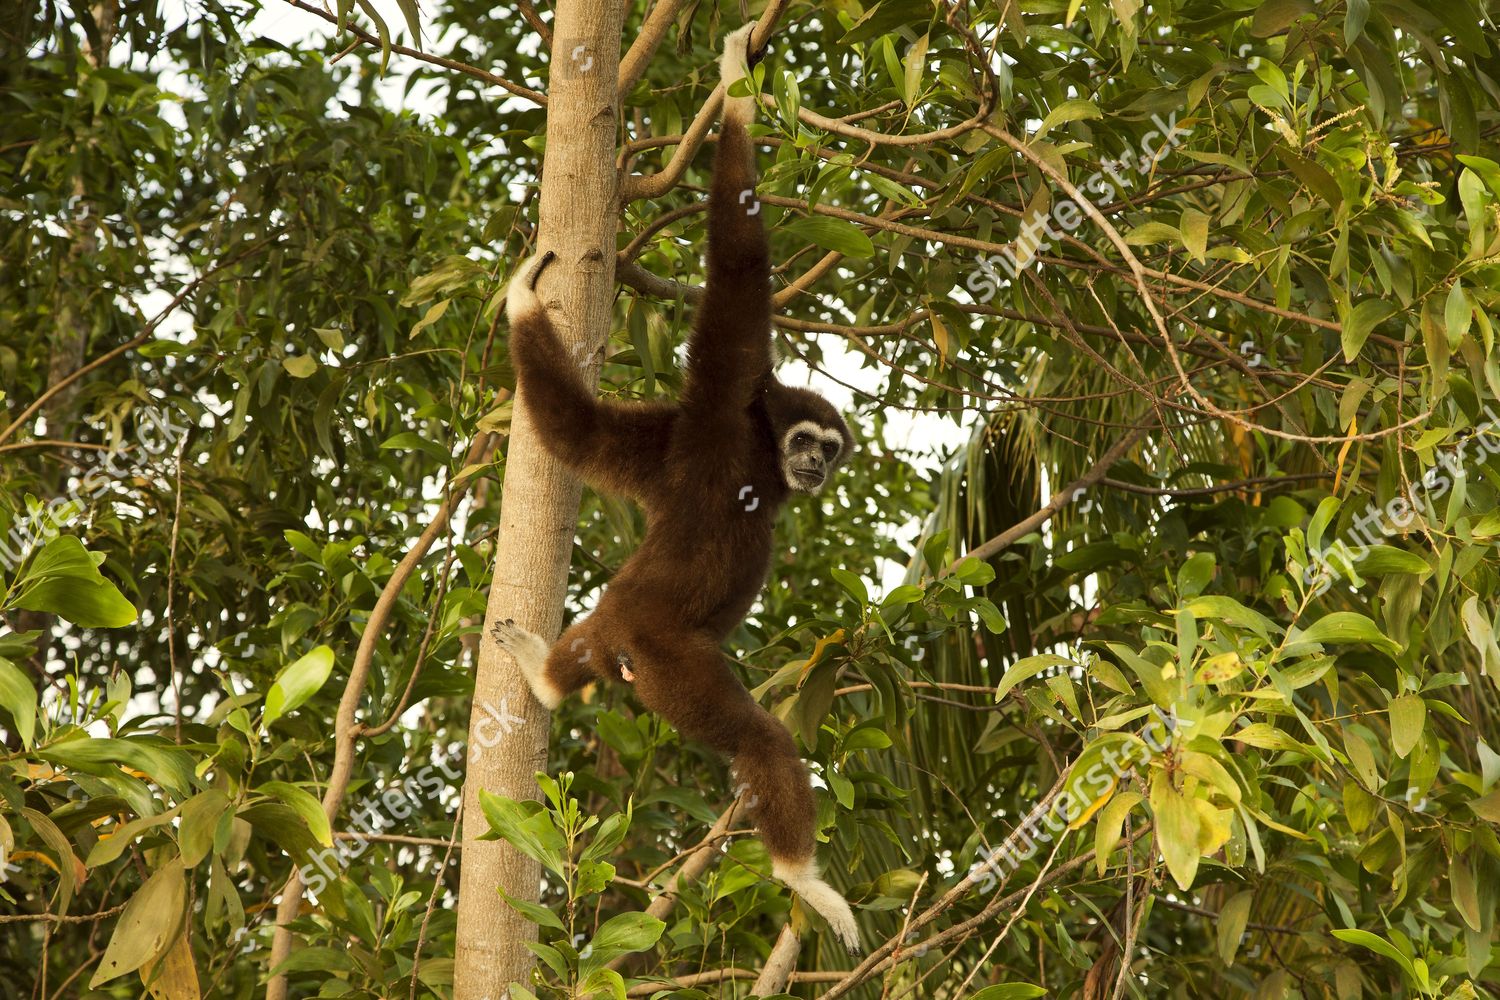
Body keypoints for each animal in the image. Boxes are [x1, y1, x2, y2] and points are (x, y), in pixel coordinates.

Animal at [489, 24, 861, 951]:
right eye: (808, 442)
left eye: (831, 452)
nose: (817, 466)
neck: (759, 447)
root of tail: (627, 631)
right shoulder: (721, 401)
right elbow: (738, 266)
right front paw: (738, 91)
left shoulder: (664, 438)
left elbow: (581, 434)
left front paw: (520, 305)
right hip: (665, 659)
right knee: (758, 740)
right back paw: (801, 879)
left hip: (618, 638)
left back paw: (547, 679)